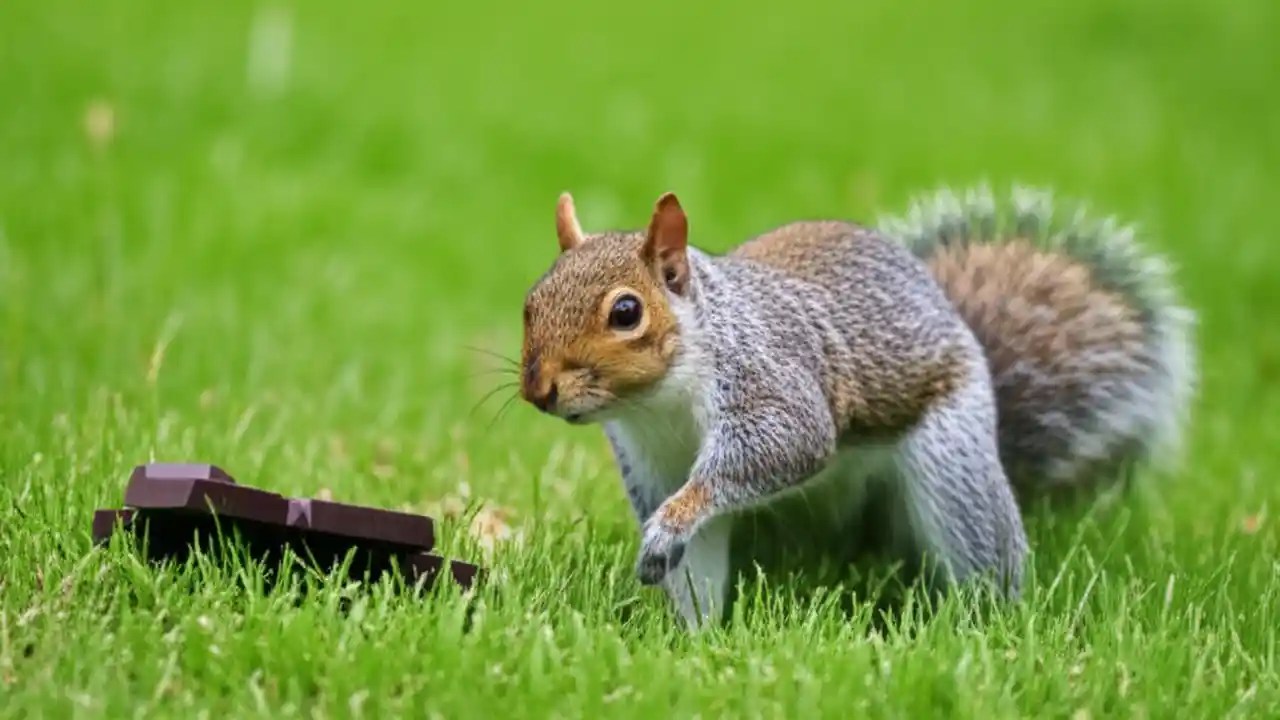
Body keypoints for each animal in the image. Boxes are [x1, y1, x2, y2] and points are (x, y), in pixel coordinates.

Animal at [518, 184, 1196, 628]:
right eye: (531, 300)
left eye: (626, 312)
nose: (538, 391)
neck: (662, 400)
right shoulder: (652, 459)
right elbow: (698, 562)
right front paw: (697, 640)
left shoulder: (772, 378)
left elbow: (782, 446)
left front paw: (674, 524)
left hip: (951, 460)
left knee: (982, 548)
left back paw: (976, 624)